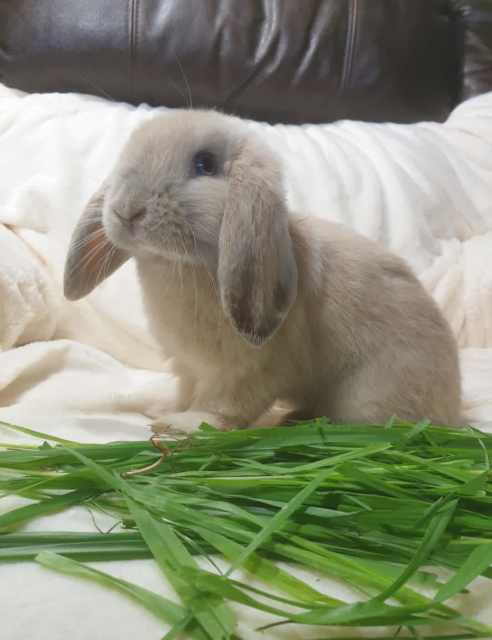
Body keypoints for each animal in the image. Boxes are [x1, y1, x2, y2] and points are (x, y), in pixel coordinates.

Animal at [63, 109, 462, 434]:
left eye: (205, 164)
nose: (126, 210)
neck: (179, 267)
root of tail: (453, 404)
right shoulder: (188, 368)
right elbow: (185, 392)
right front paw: (163, 410)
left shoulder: (244, 373)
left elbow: (221, 409)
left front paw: (182, 424)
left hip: (368, 396)